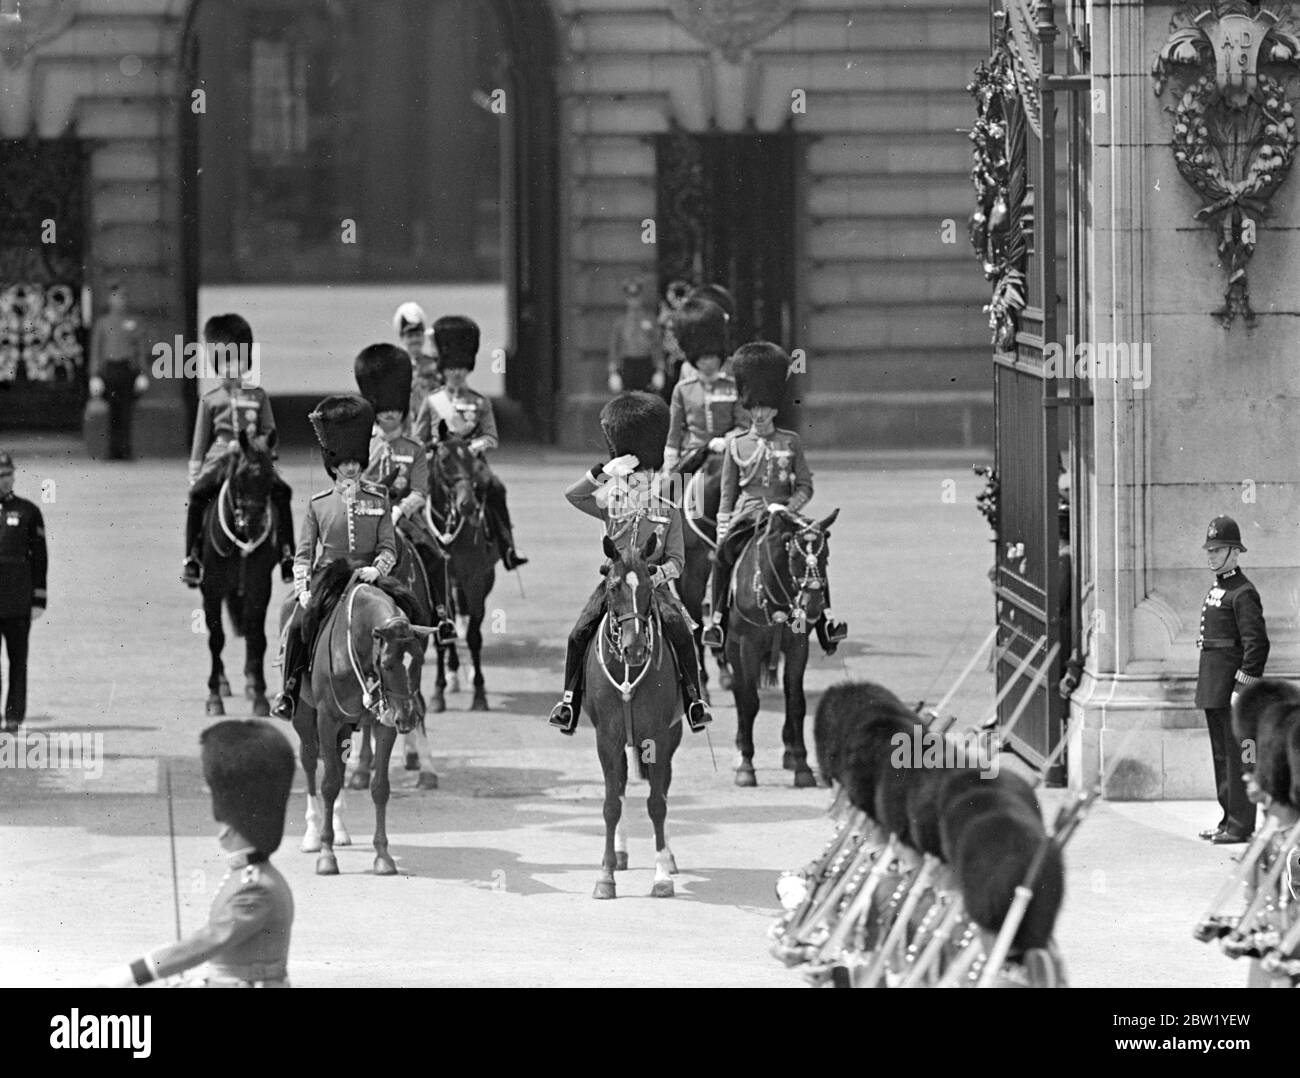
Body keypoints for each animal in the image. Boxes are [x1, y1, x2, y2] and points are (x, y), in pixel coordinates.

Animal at [197, 429, 284, 712]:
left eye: (270, 475)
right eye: (241, 476)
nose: (255, 523)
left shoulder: (259, 586)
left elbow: (256, 637)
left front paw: (259, 696)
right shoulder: (211, 587)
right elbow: (216, 638)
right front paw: (214, 696)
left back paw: (249, 681)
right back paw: (224, 683)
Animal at [280, 564, 431, 873]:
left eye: (419, 661)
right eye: (387, 664)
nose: (408, 718)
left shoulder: (385, 724)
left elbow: (379, 787)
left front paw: (383, 856)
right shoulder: (326, 719)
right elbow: (328, 784)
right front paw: (326, 856)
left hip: (347, 726)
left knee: (338, 763)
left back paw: (339, 829)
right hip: (305, 715)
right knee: (311, 761)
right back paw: (313, 835)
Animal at [722, 504, 842, 790]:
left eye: (825, 556)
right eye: (795, 557)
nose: (813, 604)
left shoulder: (798, 646)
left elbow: (796, 701)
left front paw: (802, 765)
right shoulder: (748, 645)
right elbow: (749, 700)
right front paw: (746, 765)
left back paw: (789, 752)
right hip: (732, 647)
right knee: (740, 691)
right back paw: (740, 749)